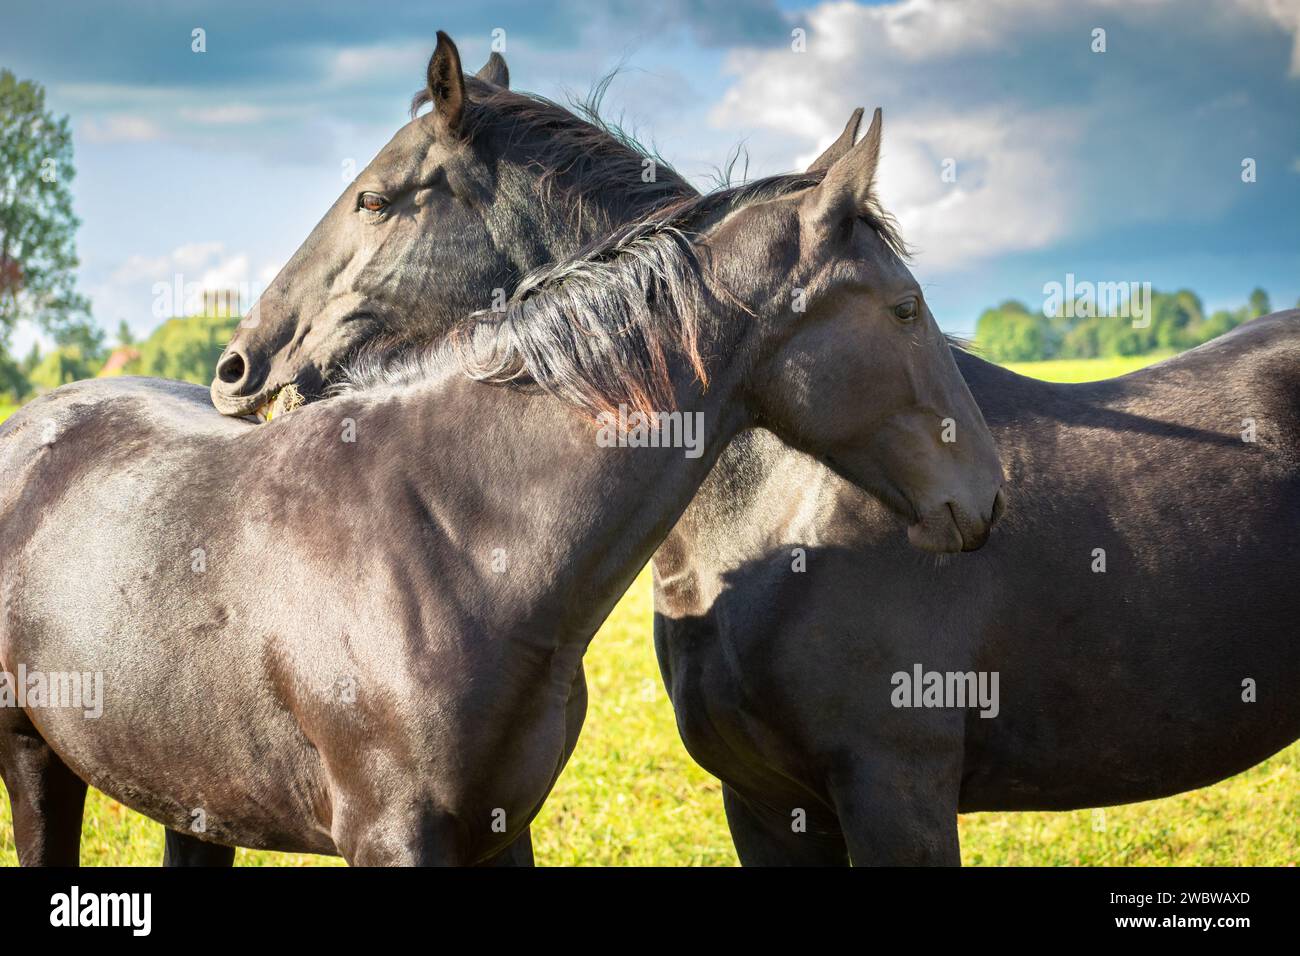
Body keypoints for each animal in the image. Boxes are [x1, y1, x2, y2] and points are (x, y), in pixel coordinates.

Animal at [0, 116, 1005, 865]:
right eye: (905, 309)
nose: (989, 496)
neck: (453, 537)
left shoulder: (500, 828)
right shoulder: (395, 844)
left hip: (191, 800)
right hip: (32, 757)